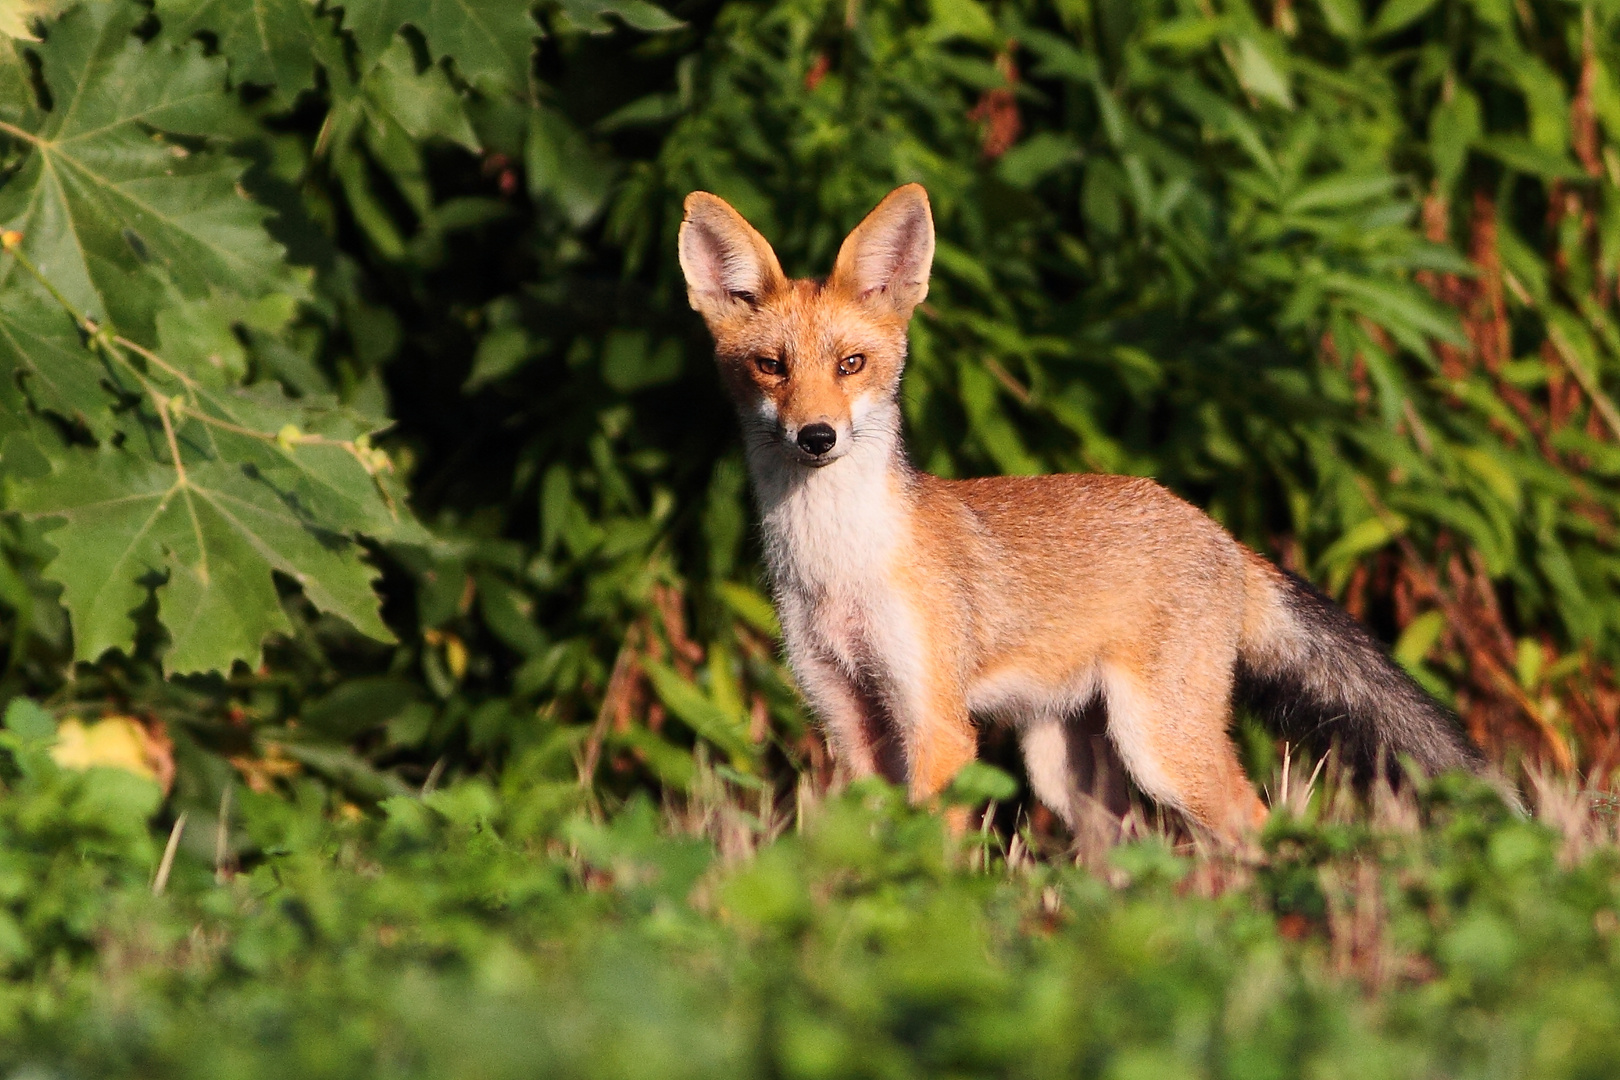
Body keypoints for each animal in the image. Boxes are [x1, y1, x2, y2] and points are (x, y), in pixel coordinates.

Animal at [677, 182, 1487, 841]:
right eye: (771, 367)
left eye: (851, 365)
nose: (817, 436)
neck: (837, 565)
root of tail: (1219, 532)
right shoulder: (850, 722)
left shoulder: (936, 723)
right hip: (1065, 772)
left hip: (1162, 748)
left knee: (1257, 825)